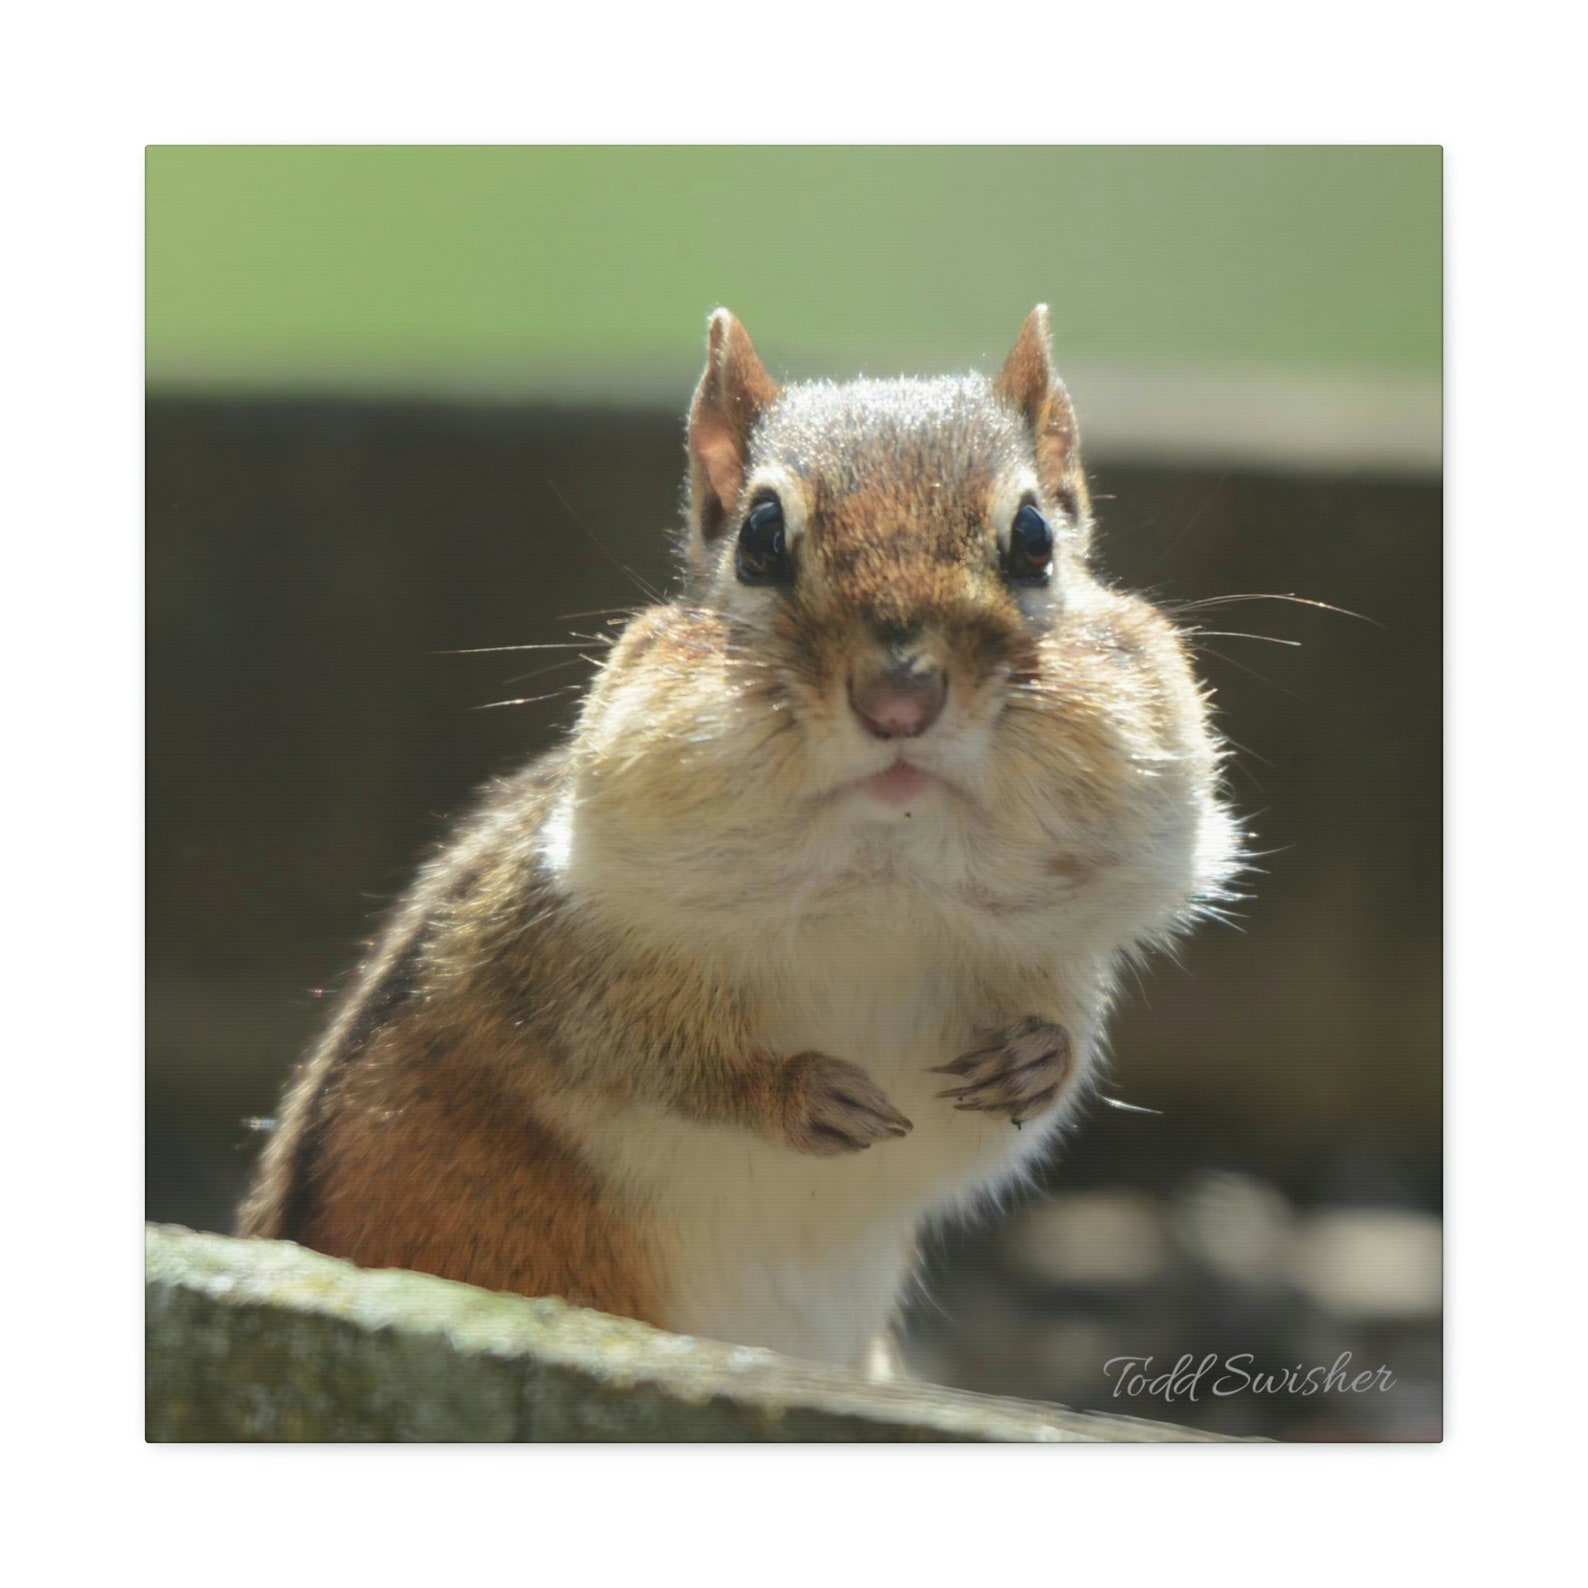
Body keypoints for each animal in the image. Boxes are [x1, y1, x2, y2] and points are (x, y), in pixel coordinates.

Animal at [237, 306, 1239, 1369]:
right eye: (762, 537)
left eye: (1035, 537)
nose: (899, 700)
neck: (887, 883)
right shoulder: (555, 954)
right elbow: (642, 1050)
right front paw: (795, 1093)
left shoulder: (1067, 950)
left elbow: (1067, 1043)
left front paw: (1034, 1060)